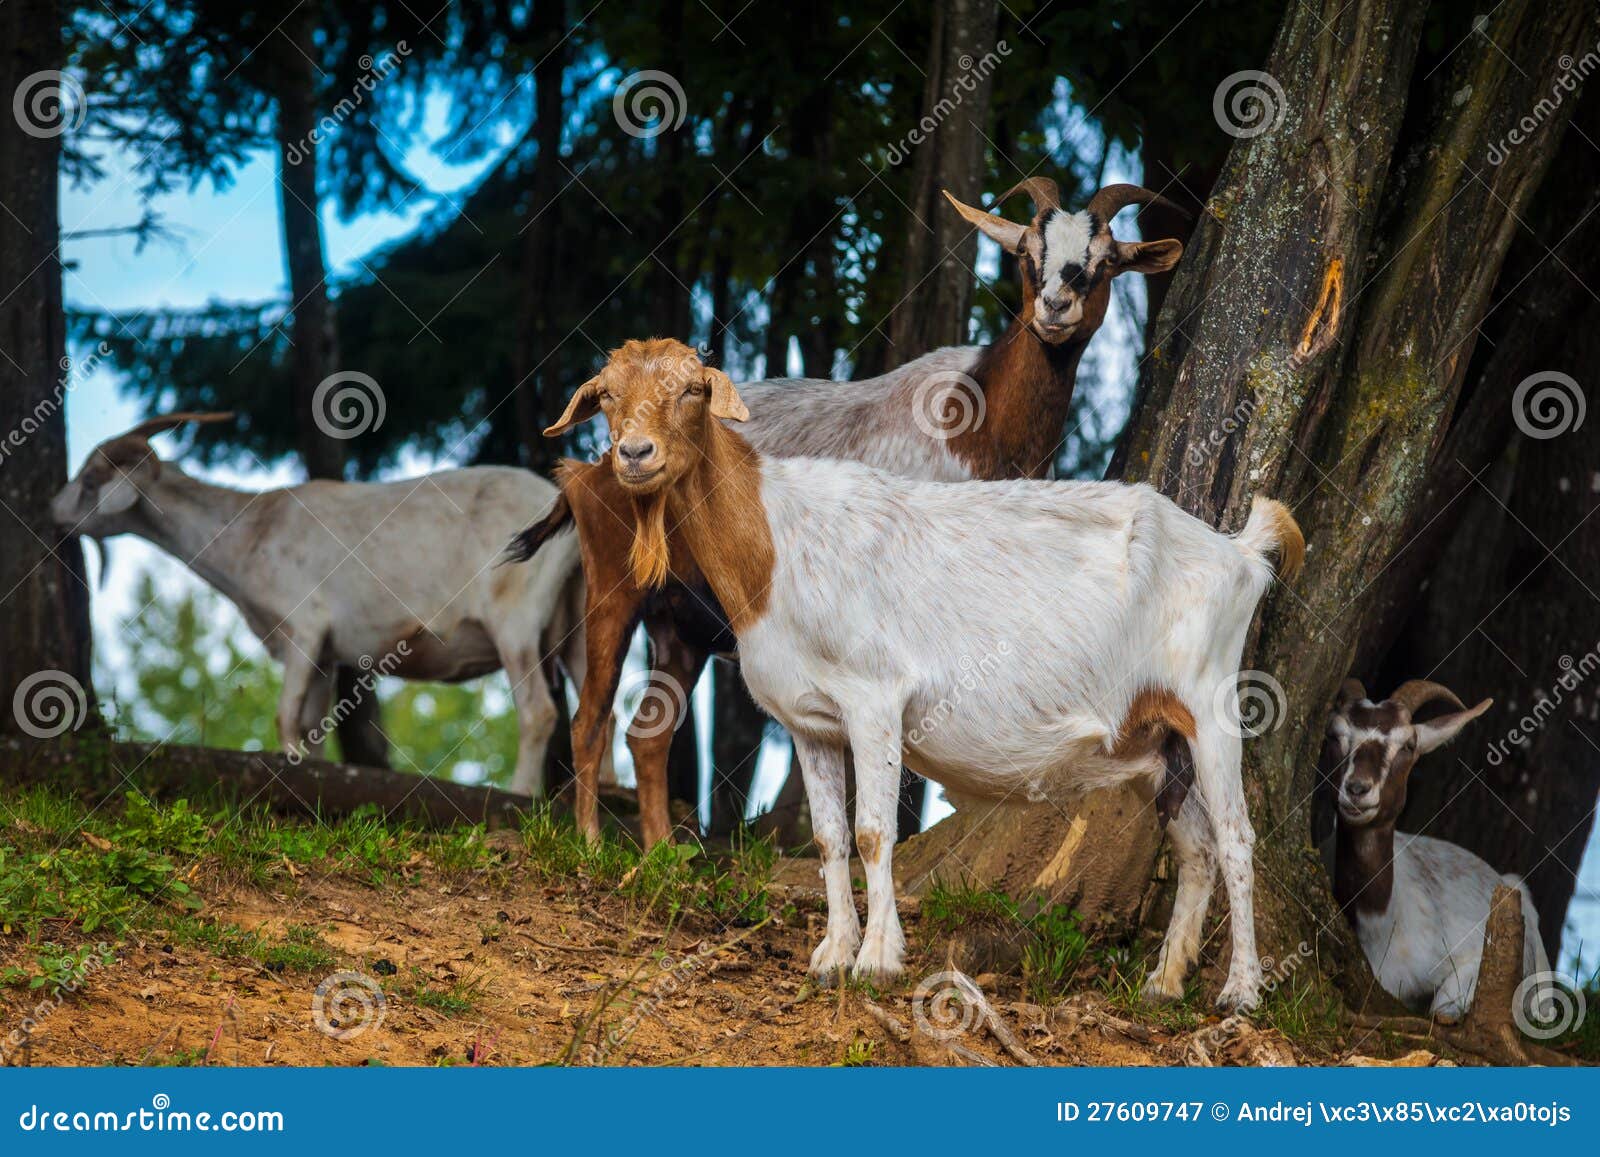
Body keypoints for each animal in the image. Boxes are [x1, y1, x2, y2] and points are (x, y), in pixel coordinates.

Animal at [51, 412, 596, 795]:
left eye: (92, 479)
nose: (52, 511)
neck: (252, 533)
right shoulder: (326, 654)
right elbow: (312, 724)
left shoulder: (303, 629)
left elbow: (286, 716)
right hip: (577, 619)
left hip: (516, 621)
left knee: (539, 711)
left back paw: (519, 795)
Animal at [510, 179, 1187, 846]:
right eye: (1026, 254)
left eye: (1104, 262)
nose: (1054, 309)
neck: (978, 422)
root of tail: (590, 467)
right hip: (614, 591)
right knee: (590, 718)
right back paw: (592, 846)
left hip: (680, 626)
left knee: (646, 734)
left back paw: (664, 856)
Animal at [542, 338, 1303, 1011]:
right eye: (606, 394)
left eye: (693, 391)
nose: (634, 455)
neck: (775, 543)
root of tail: (1238, 551)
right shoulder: (808, 722)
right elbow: (830, 836)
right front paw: (832, 955)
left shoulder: (875, 699)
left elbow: (875, 832)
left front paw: (878, 960)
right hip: (1160, 737)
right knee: (1196, 848)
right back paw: (1164, 983)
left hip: (1211, 704)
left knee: (1236, 840)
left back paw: (1239, 992)